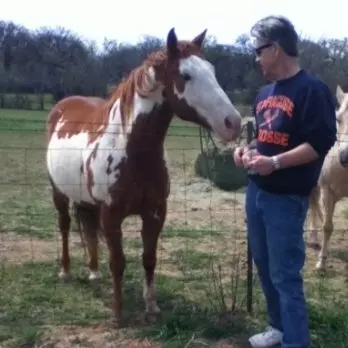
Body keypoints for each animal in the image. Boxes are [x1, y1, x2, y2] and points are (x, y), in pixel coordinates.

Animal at [45, 27, 242, 326]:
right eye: (186, 75)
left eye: (212, 71)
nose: (233, 123)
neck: (132, 149)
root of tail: (62, 106)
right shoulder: (111, 216)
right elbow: (118, 262)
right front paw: (118, 314)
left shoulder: (155, 213)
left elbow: (149, 258)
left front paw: (151, 307)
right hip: (59, 193)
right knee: (65, 226)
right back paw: (65, 271)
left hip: (87, 201)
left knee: (88, 229)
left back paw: (93, 272)